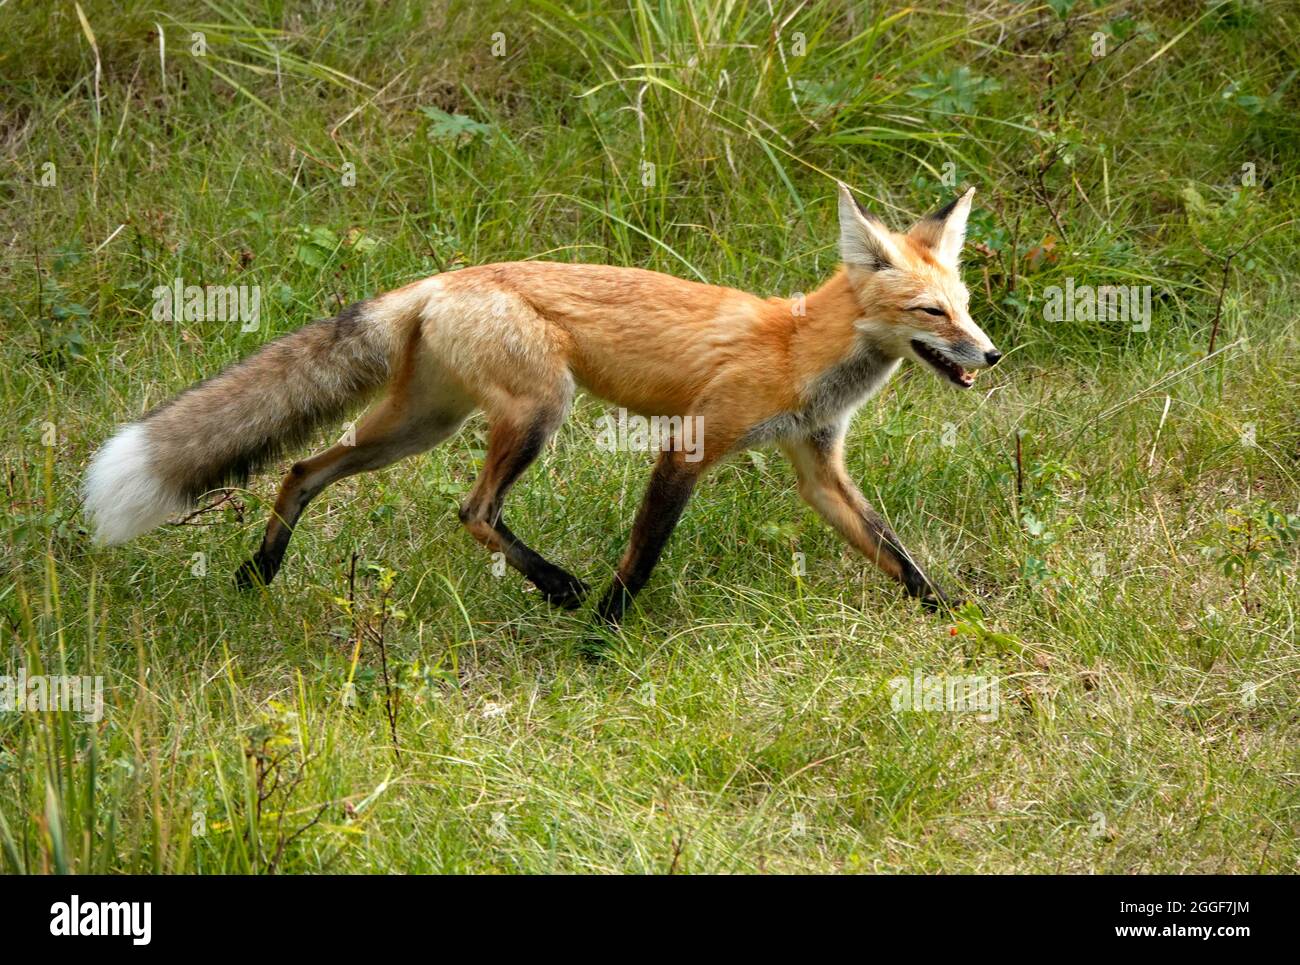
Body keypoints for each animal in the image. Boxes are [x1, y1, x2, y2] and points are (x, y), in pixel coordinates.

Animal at [84, 183, 1001, 626]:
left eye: (965, 304)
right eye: (932, 313)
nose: (991, 354)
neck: (797, 347)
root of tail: (443, 277)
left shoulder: (818, 463)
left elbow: (896, 554)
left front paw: (953, 619)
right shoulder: (690, 444)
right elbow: (641, 557)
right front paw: (602, 634)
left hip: (419, 426)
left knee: (303, 467)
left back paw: (258, 571)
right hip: (534, 411)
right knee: (473, 509)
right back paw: (558, 587)